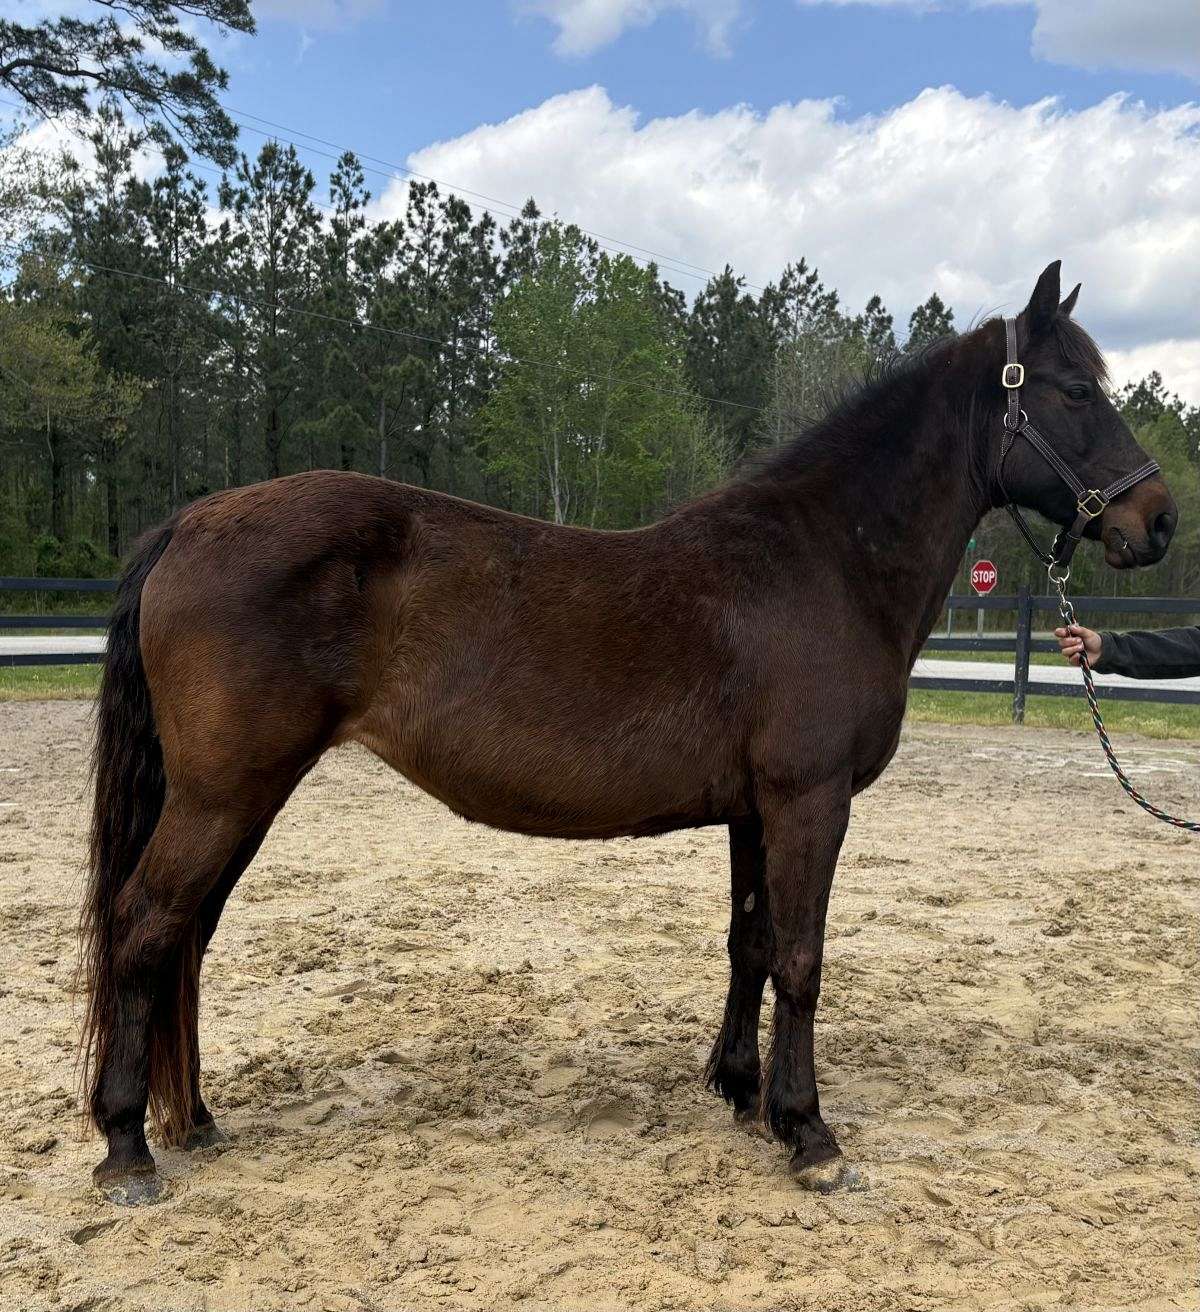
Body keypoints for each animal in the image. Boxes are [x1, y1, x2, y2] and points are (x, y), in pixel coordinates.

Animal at [80, 262, 1177, 1204]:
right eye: (1075, 389)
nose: (1158, 522)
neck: (823, 560)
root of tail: (189, 524)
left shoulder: (755, 811)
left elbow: (750, 942)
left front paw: (742, 1092)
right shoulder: (808, 800)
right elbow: (802, 957)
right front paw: (812, 1134)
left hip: (241, 796)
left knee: (185, 937)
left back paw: (193, 1119)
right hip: (226, 792)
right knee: (144, 927)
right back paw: (129, 1146)